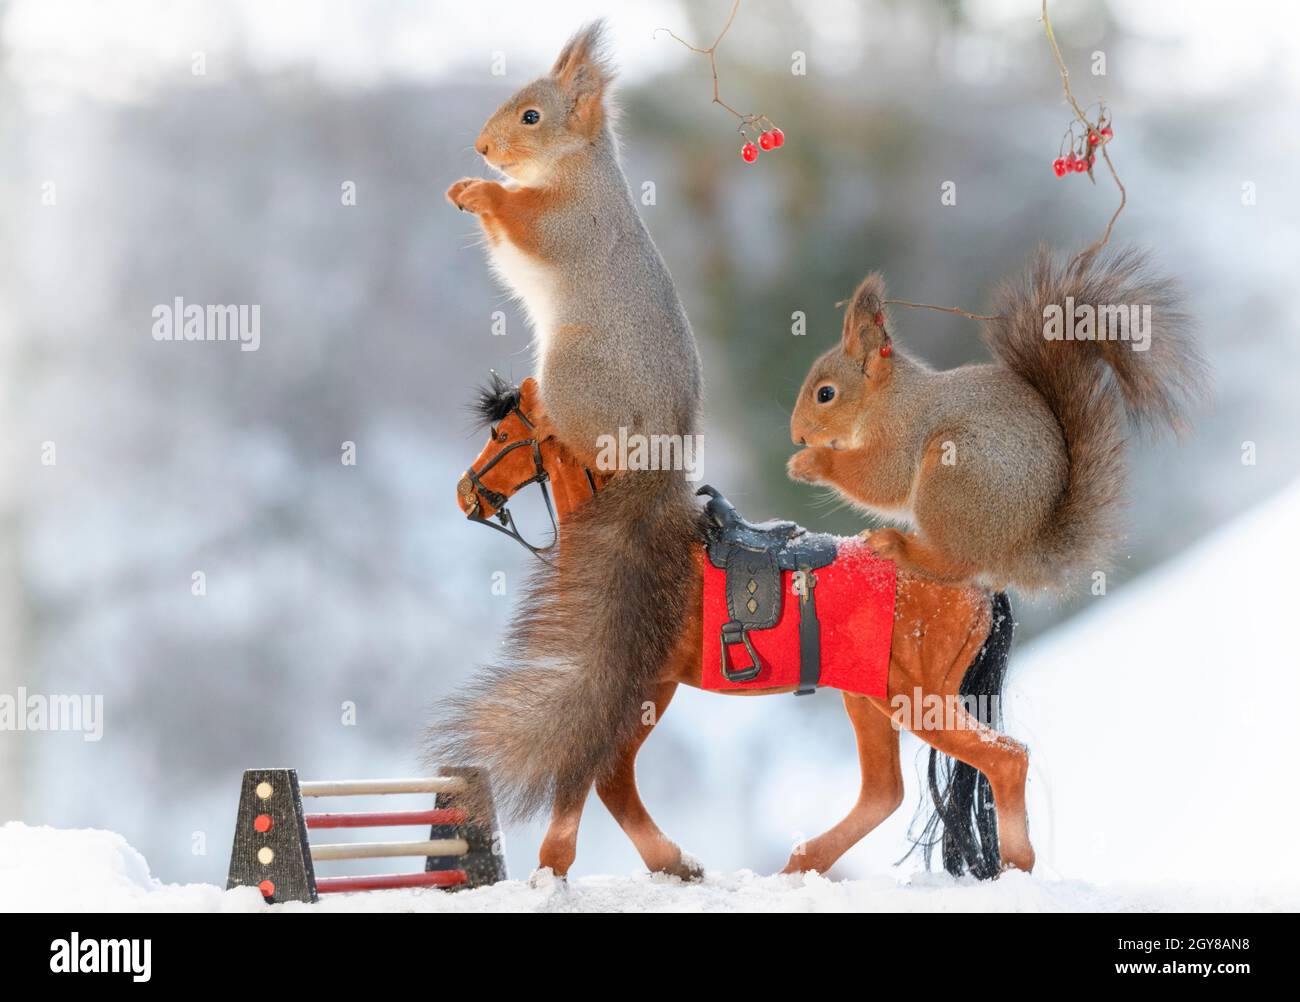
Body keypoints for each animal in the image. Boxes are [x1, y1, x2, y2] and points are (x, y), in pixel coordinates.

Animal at [452, 375, 1033, 880]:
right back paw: (799, 866)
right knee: (883, 792)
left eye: (501, 435)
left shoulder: (631, 682)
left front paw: (551, 870)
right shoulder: (647, 686)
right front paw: (674, 864)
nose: (466, 491)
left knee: (1008, 760)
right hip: (869, 698)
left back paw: (1017, 867)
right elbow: (612, 781)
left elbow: (589, 771)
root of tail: (978, 582)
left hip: (913, 699)